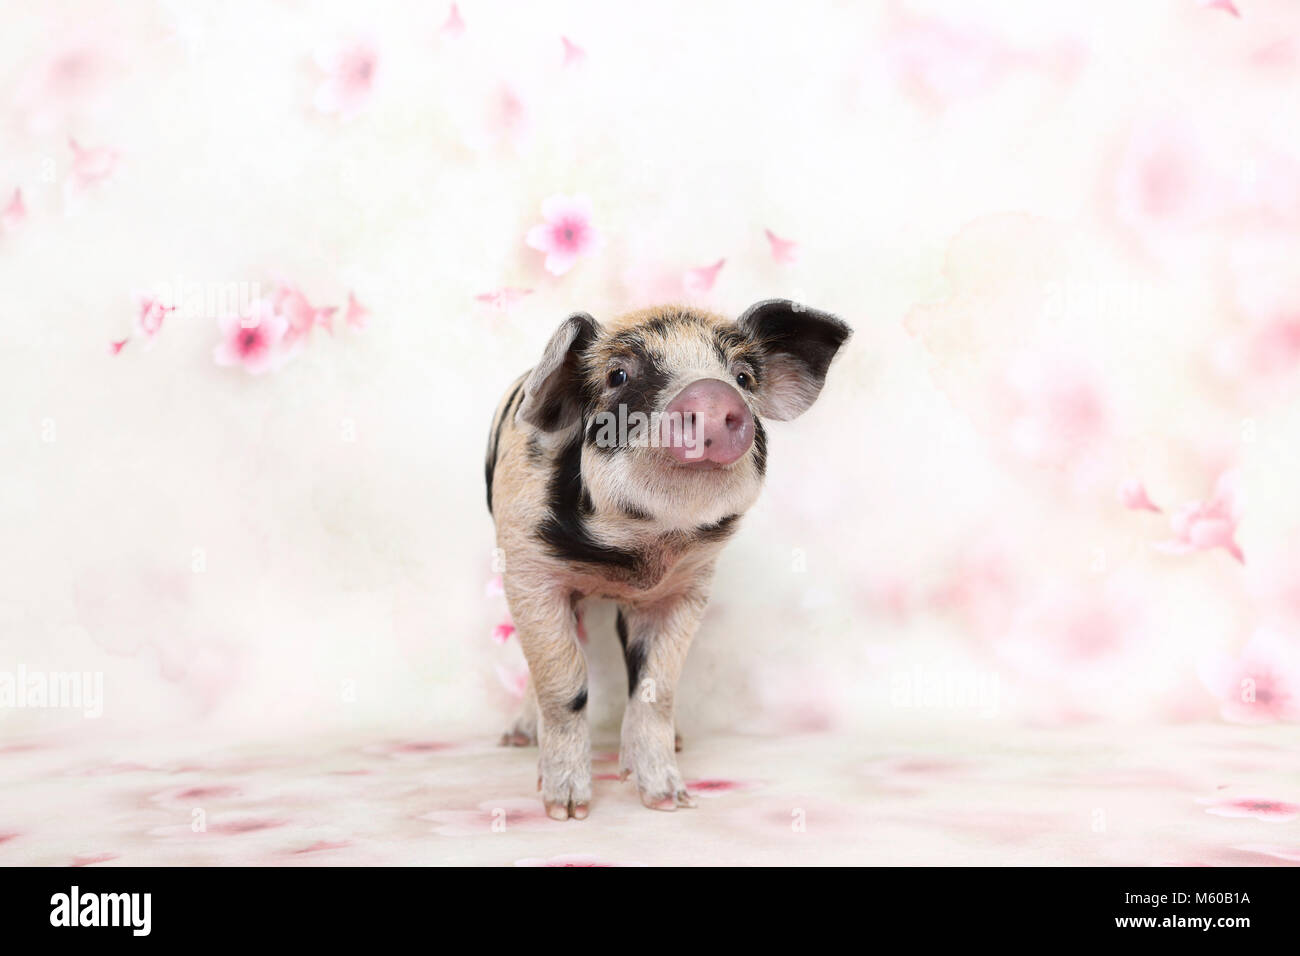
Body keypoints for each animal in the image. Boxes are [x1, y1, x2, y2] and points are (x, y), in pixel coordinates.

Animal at [484, 299, 851, 819]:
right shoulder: (528, 570)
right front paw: (567, 810)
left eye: (743, 377)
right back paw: (515, 739)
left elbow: (656, 689)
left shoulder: (687, 588)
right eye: (617, 375)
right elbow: (563, 683)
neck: (633, 552)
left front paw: (669, 801)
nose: (713, 396)